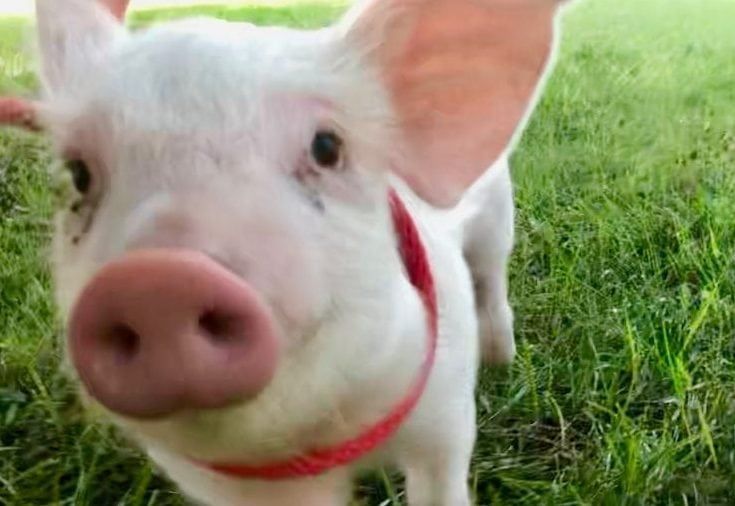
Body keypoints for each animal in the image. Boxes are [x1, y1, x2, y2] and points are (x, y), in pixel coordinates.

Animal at [0, 0, 572, 504]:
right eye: (79, 175)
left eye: (327, 147)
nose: (156, 281)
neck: (328, 435)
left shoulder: (447, 410)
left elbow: (442, 481)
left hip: (498, 212)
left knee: (491, 278)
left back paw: (501, 359)